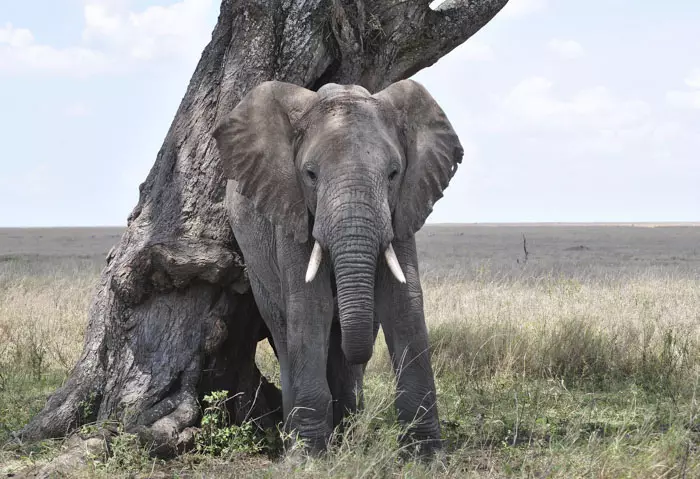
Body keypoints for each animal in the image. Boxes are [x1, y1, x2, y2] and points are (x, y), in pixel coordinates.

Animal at [213, 77, 464, 456]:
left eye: (393, 174)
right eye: (310, 174)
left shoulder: (402, 210)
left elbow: (404, 304)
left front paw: (426, 457)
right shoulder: (291, 210)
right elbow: (310, 307)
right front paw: (308, 458)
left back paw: (346, 436)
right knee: (284, 330)